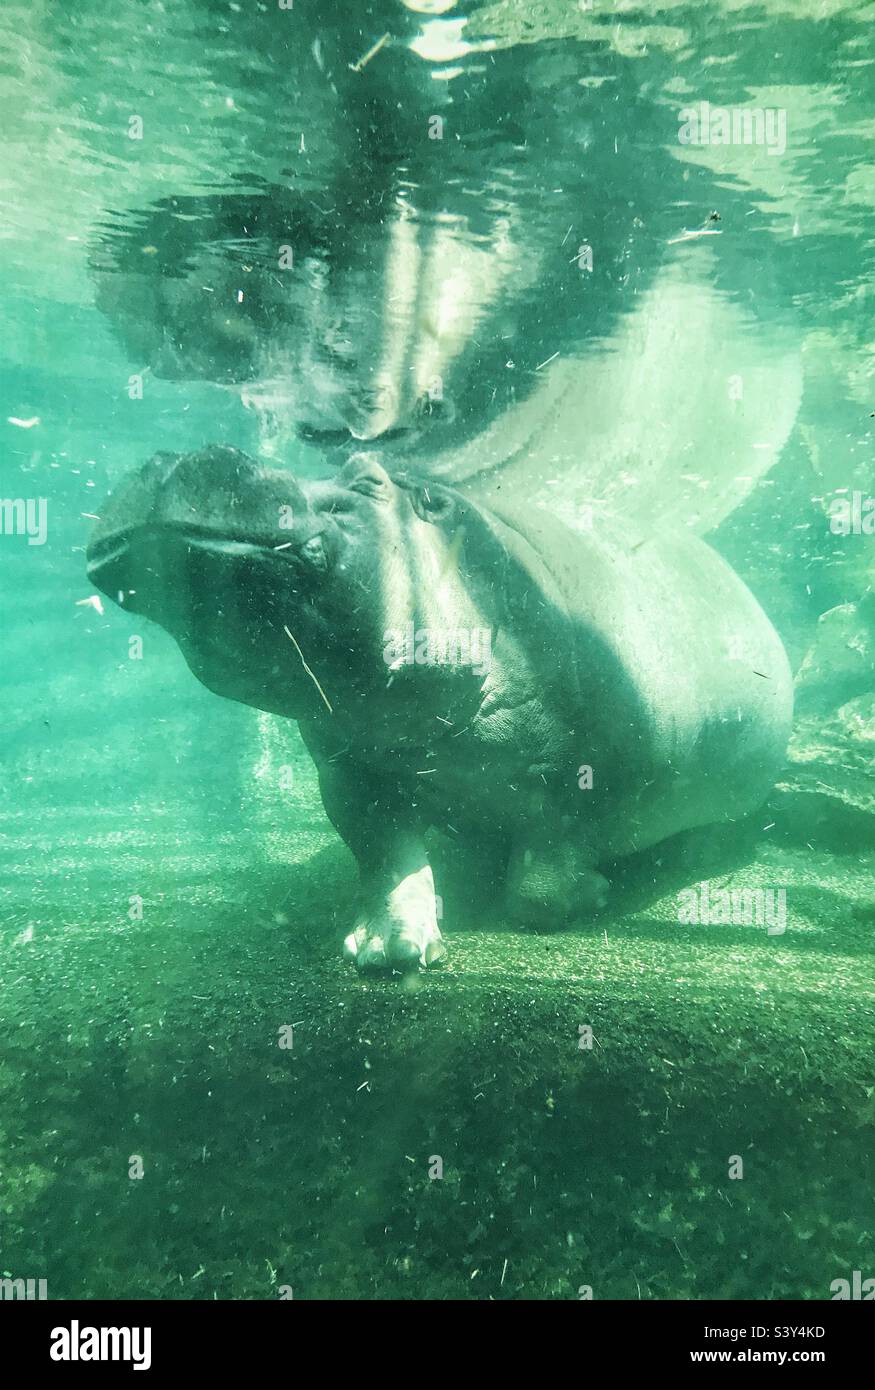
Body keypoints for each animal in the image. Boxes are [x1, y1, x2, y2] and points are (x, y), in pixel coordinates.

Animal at [86, 445, 793, 971]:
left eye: (366, 479)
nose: (175, 458)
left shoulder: (594, 774)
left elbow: (542, 880)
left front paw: (585, 896)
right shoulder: (348, 774)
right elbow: (384, 854)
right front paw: (388, 946)